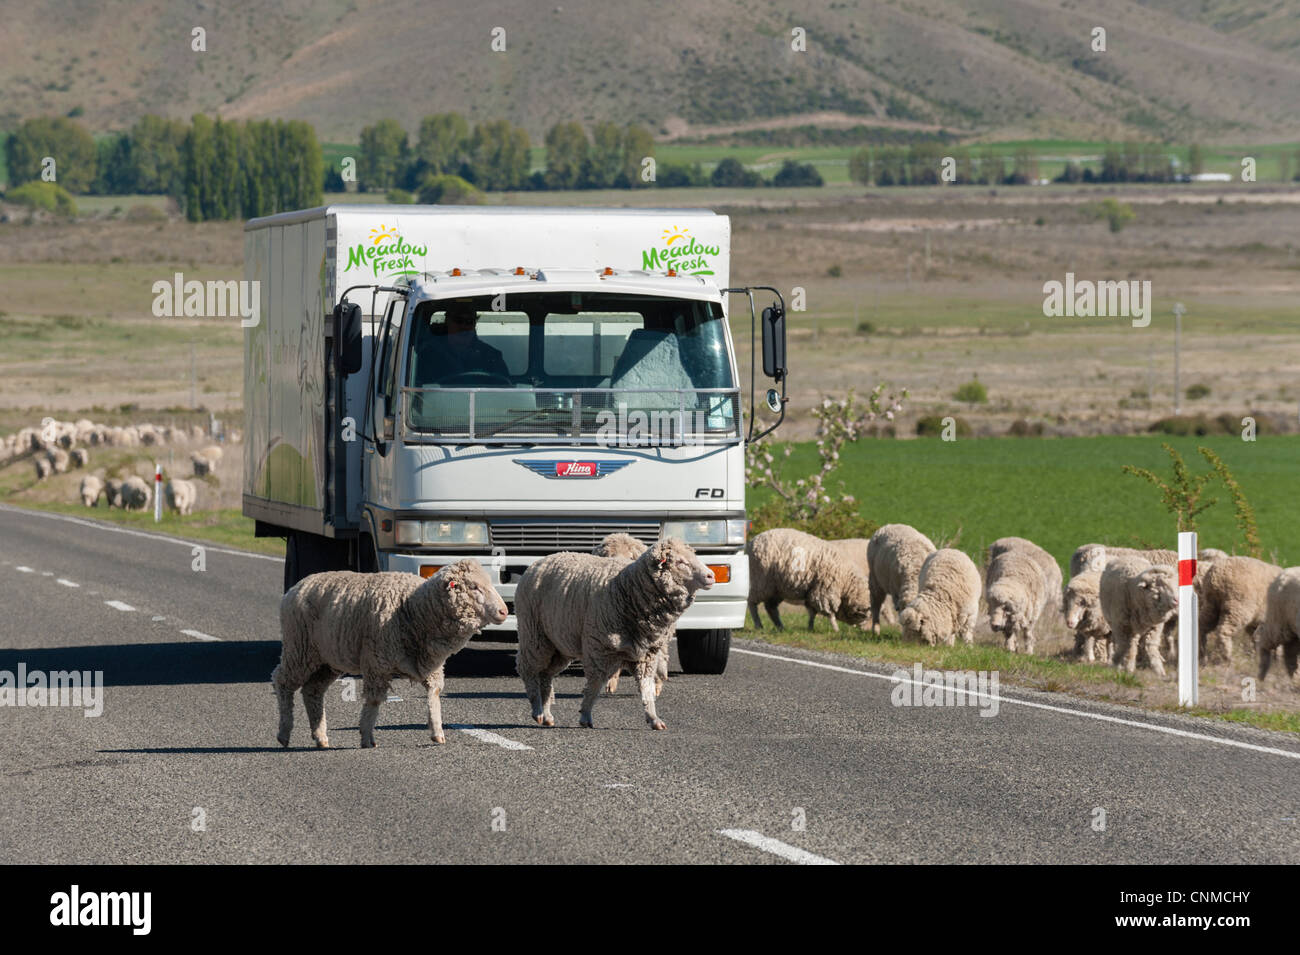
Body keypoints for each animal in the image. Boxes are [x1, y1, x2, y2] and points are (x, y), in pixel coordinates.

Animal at [274, 561, 506, 749]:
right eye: (474, 587)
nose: (504, 611)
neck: (414, 609)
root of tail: (297, 586)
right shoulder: (377, 663)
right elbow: (374, 701)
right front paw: (366, 737)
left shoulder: (431, 666)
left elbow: (434, 694)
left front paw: (437, 732)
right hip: (299, 648)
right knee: (282, 683)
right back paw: (284, 733)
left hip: (328, 660)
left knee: (312, 691)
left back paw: (320, 737)